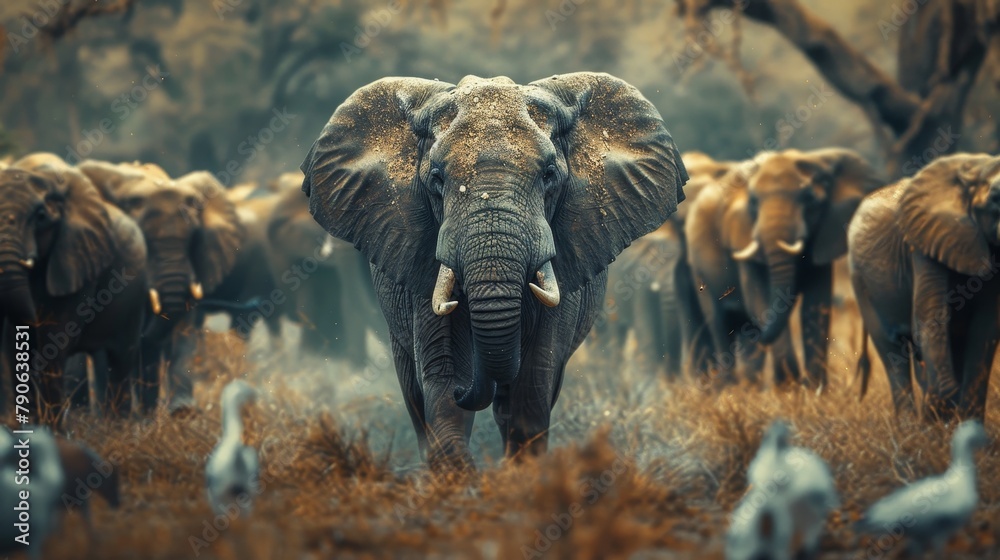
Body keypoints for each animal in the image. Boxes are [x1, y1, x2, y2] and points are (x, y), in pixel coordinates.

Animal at [0, 153, 148, 422]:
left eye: (40, 217)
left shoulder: (78, 261)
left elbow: (54, 344)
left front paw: (53, 430)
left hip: (135, 294)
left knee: (121, 360)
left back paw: (117, 427)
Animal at [300, 73, 687, 465]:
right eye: (437, 179)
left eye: (549, 175)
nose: (467, 387)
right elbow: (441, 383)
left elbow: (532, 385)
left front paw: (520, 473)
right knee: (415, 394)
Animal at [685, 148, 882, 388]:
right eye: (753, 202)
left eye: (809, 199)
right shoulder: (743, 236)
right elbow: (758, 299)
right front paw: (790, 389)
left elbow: (816, 305)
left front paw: (815, 390)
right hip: (697, 267)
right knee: (719, 323)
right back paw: (731, 388)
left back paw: (749, 386)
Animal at [849, 154, 1000, 420]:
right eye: (995, 198)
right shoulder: (924, 242)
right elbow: (928, 320)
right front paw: (940, 414)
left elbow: (984, 331)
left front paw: (967, 423)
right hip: (861, 282)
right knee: (891, 352)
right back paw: (911, 427)